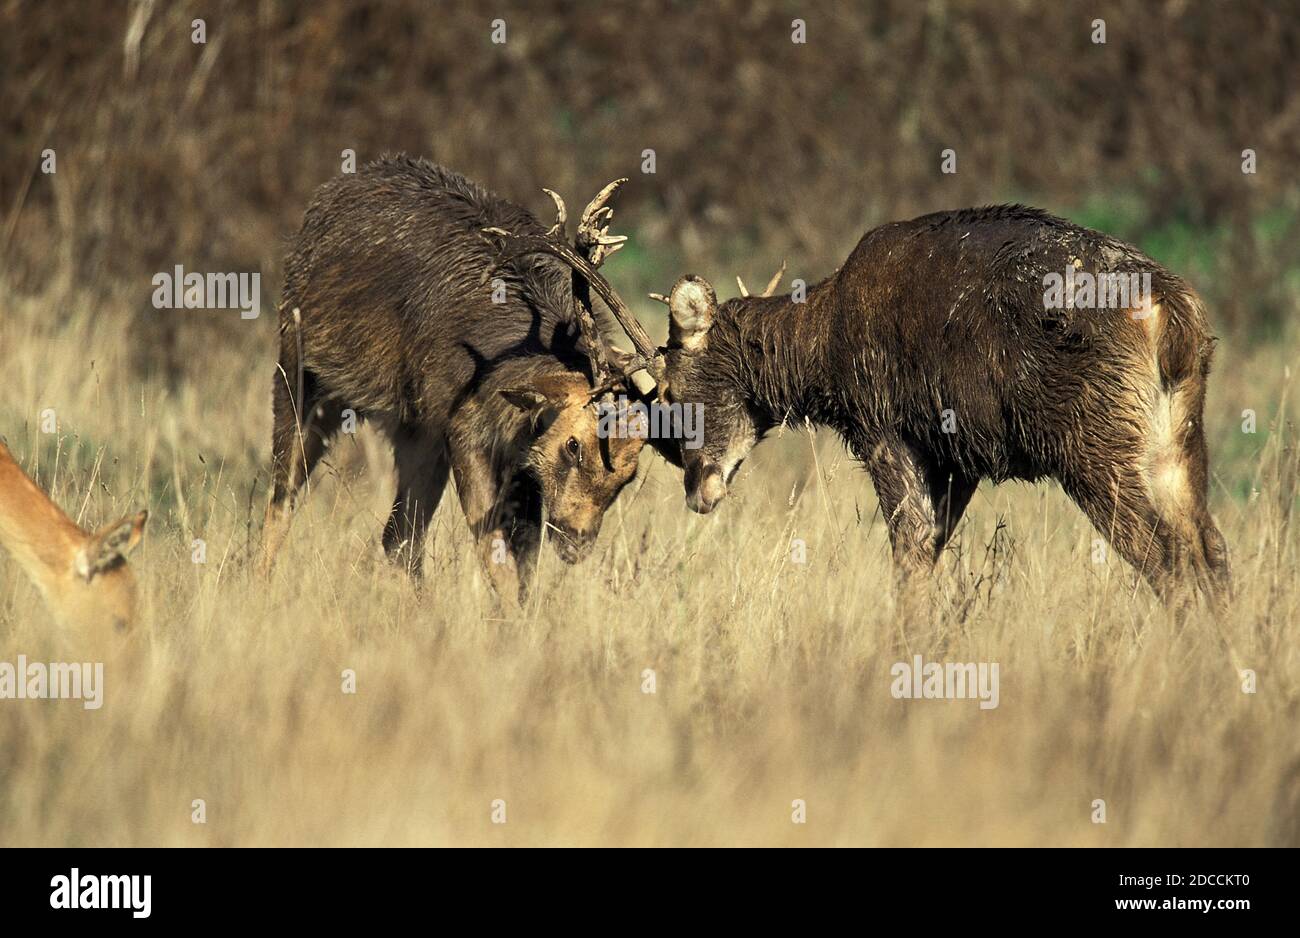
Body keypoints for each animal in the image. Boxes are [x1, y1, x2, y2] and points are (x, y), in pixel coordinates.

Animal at [260, 157, 655, 604]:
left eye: (630, 474)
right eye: (573, 445)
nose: (576, 542)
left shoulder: (515, 452)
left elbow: (523, 562)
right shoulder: (463, 424)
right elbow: (496, 556)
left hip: (415, 431)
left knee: (398, 537)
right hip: (298, 370)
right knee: (280, 501)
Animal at [488, 203, 1232, 614]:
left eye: (674, 396)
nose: (700, 492)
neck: (824, 349)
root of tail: (1176, 314)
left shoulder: (886, 427)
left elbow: (908, 559)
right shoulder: (956, 459)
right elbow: (928, 556)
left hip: (1094, 440)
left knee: (1168, 559)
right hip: (1177, 439)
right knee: (1213, 550)